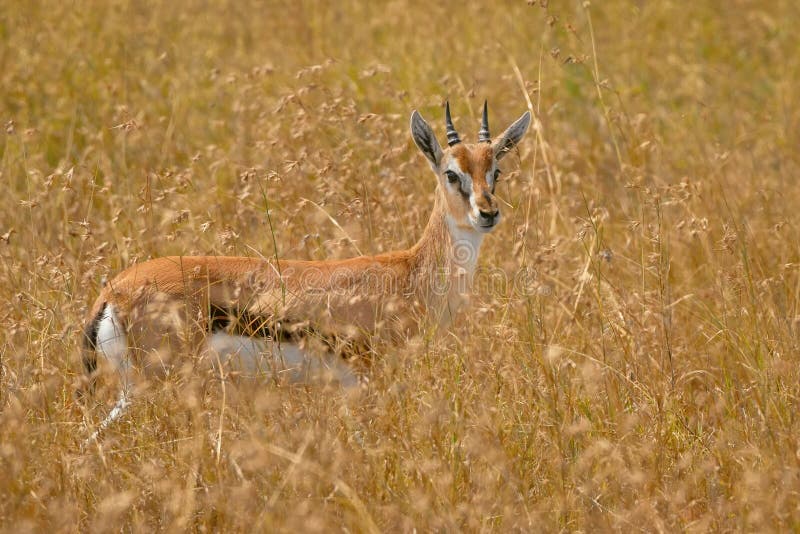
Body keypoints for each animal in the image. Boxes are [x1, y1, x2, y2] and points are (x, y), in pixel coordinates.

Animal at [81, 101, 530, 439]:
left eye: (496, 171)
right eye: (451, 173)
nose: (487, 213)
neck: (409, 273)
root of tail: (112, 291)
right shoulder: (365, 381)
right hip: (150, 387)